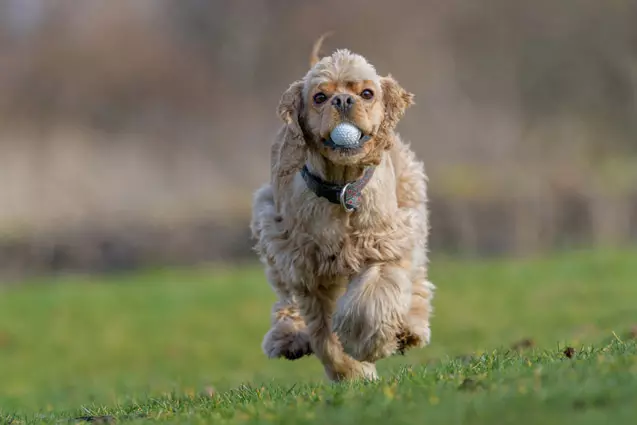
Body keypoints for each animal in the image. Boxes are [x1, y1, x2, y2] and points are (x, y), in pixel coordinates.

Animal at [248, 35, 432, 380]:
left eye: (367, 93)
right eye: (319, 97)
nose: (344, 100)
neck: (342, 187)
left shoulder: (384, 243)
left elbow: (372, 299)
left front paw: (368, 346)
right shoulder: (307, 268)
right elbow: (324, 336)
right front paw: (353, 371)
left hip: (411, 199)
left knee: (417, 277)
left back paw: (410, 329)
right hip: (271, 231)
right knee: (285, 296)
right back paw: (288, 336)